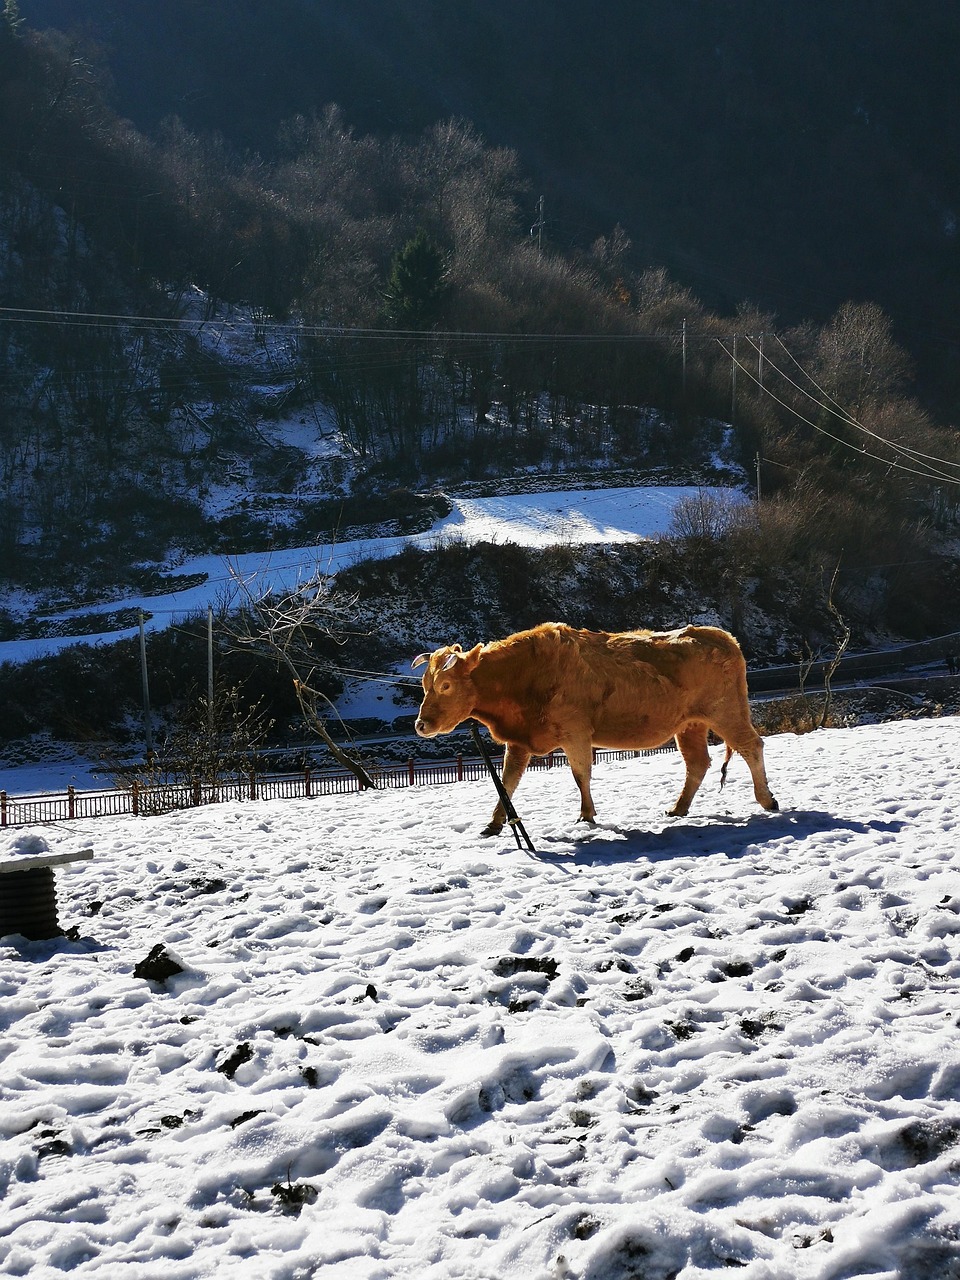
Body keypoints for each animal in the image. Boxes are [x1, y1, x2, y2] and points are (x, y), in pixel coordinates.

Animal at [412, 621, 778, 836]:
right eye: (425, 685)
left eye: (445, 685)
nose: (421, 724)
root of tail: (721, 636)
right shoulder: (519, 741)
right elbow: (507, 781)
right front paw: (495, 821)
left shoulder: (575, 732)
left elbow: (580, 774)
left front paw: (586, 815)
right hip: (690, 724)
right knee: (698, 763)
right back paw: (678, 808)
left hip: (726, 712)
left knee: (751, 745)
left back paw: (766, 799)